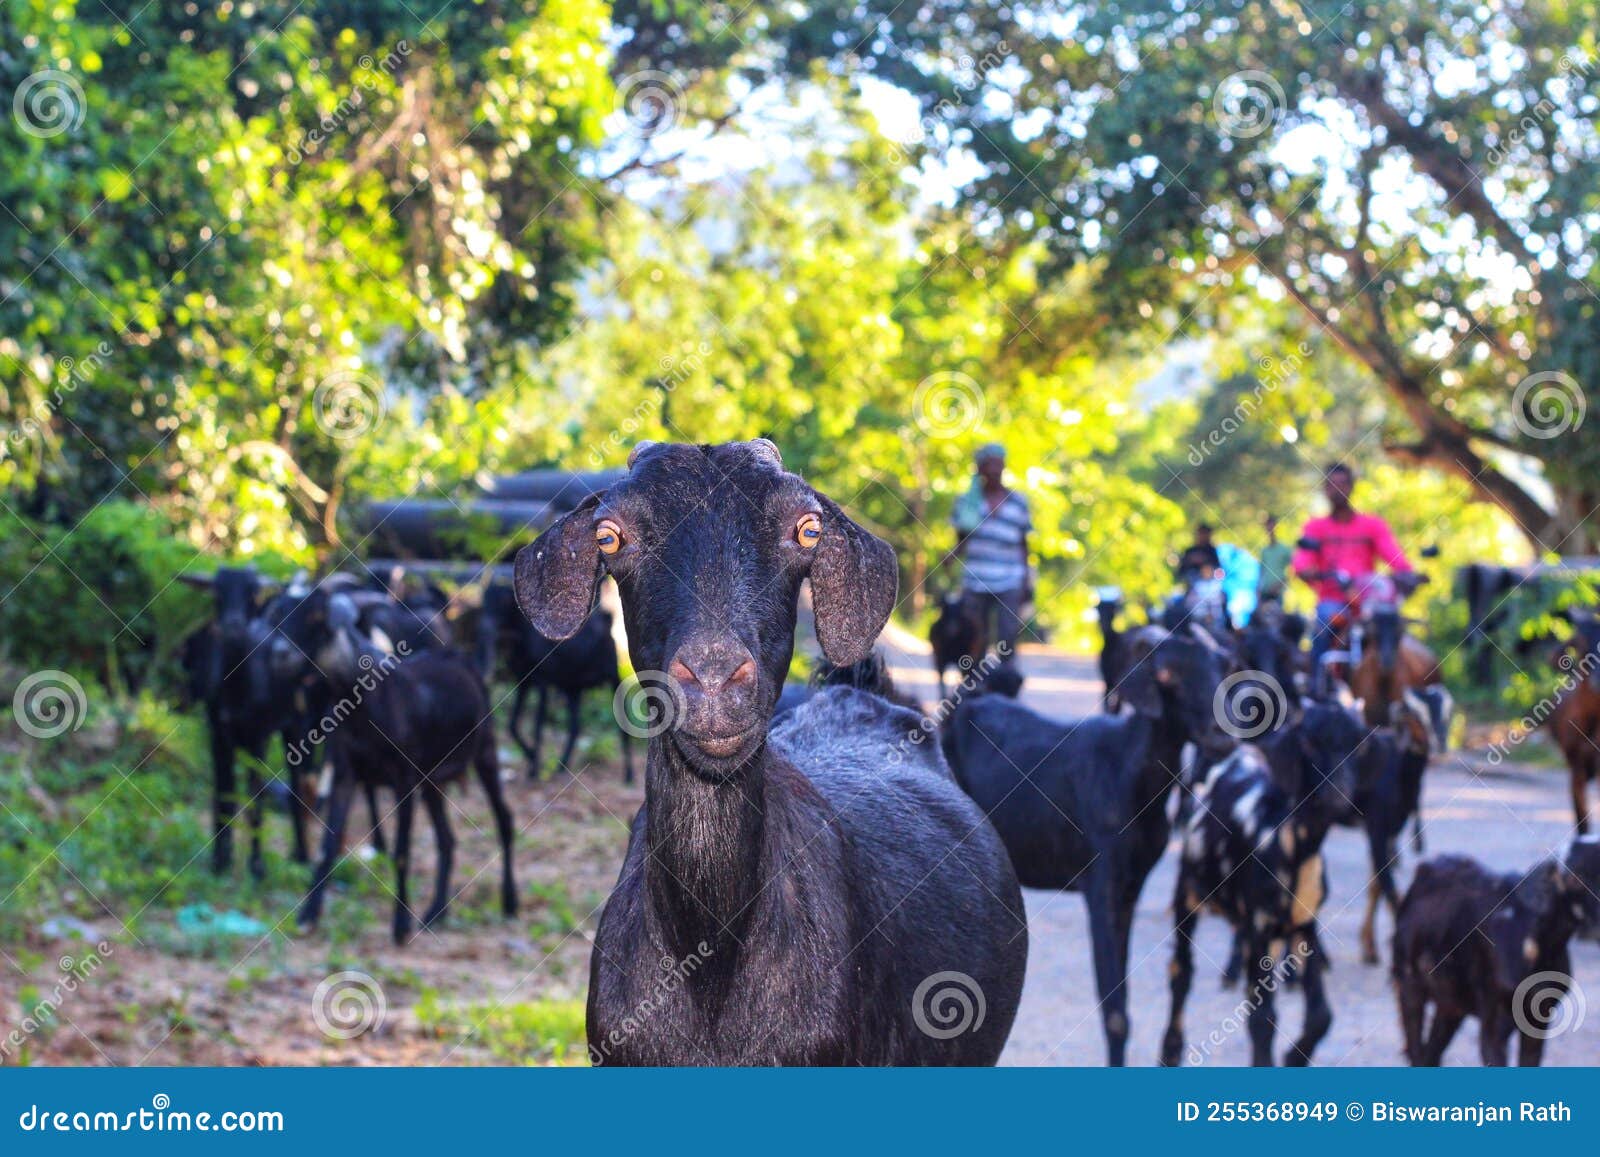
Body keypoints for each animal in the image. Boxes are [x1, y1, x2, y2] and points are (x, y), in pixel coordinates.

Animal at [270, 583, 516, 943]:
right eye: (279, 613)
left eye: (315, 616)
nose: (279, 654)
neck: (364, 705)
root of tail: (460, 659)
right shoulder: (345, 773)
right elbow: (328, 846)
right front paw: (308, 916)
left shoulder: (404, 779)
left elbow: (401, 852)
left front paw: (400, 926)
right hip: (432, 781)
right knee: (447, 839)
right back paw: (435, 913)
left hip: (484, 750)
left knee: (504, 820)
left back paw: (510, 902)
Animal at [481, 583, 633, 782]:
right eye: (483, 603)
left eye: (503, 602)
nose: (486, 626)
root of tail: (607, 620)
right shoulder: (523, 682)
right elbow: (512, 725)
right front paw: (532, 758)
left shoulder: (543, 683)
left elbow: (537, 726)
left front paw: (534, 769)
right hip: (572, 688)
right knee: (575, 727)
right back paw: (562, 766)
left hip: (613, 677)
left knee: (622, 727)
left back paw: (629, 775)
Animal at [941, 625, 1233, 1065]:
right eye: (1167, 675)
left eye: (1220, 667)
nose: (1221, 735)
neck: (1129, 770)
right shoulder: (1101, 886)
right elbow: (1115, 1013)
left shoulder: (1131, 889)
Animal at [1163, 720, 1361, 1067]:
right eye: (1309, 743)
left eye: (1357, 743)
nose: (1341, 797)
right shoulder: (1260, 925)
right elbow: (1263, 1017)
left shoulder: (1303, 922)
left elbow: (1321, 1015)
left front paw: (1294, 1057)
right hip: (1186, 893)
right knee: (1181, 972)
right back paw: (1170, 1049)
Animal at [1393, 838, 1600, 1065]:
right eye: (1575, 878)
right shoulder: (1494, 1016)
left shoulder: (1539, 1017)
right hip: (1410, 987)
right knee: (1417, 1049)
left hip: (1450, 1003)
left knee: (1432, 1052)